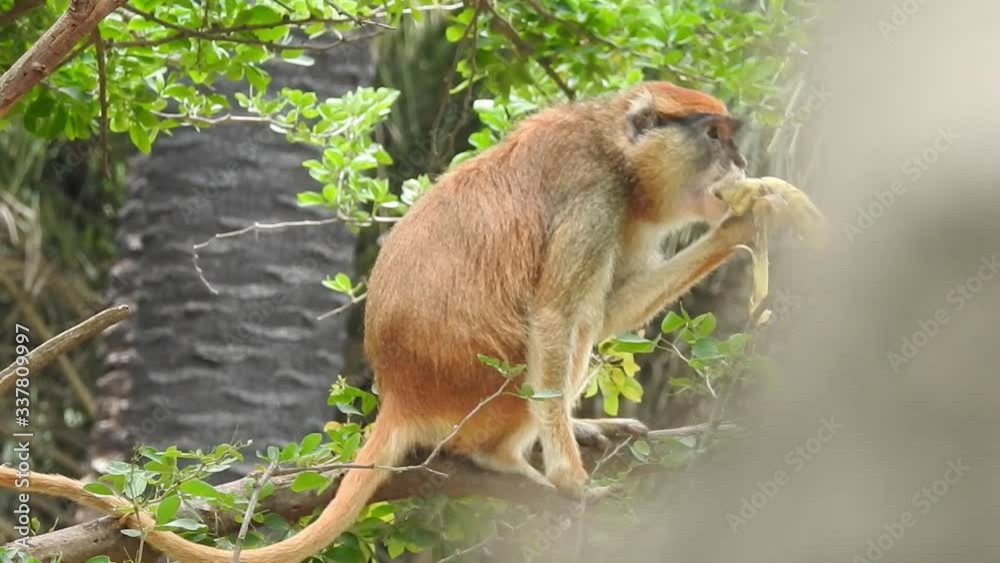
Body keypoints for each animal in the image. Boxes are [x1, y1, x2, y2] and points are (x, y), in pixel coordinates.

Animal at [0, 81, 822, 562]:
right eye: (713, 135)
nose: (737, 162)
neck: (616, 149)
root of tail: (401, 390)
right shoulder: (594, 199)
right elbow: (558, 315)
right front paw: (570, 478)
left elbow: (604, 305)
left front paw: (751, 217)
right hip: (478, 394)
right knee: (555, 340)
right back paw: (505, 460)